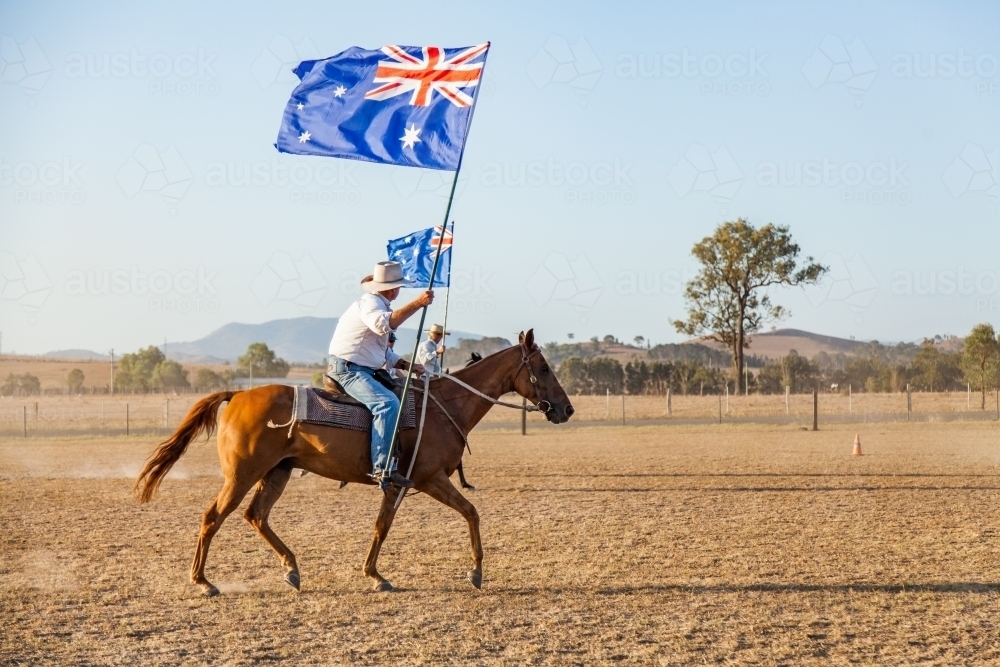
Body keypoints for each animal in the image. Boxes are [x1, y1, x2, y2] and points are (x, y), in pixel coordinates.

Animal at [133, 330, 573, 595]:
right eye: (543, 367)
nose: (566, 409)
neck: (440, 406)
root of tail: (236, 394)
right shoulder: (430, 479)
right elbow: (471, 512)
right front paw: (477, 571)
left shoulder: (397, 486)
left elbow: (381, 527)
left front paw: (374, 574)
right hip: (242, 475)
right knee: (213, 517)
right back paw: (203, 581)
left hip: (276, 473)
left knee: (256, 516)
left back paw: (291, 568)